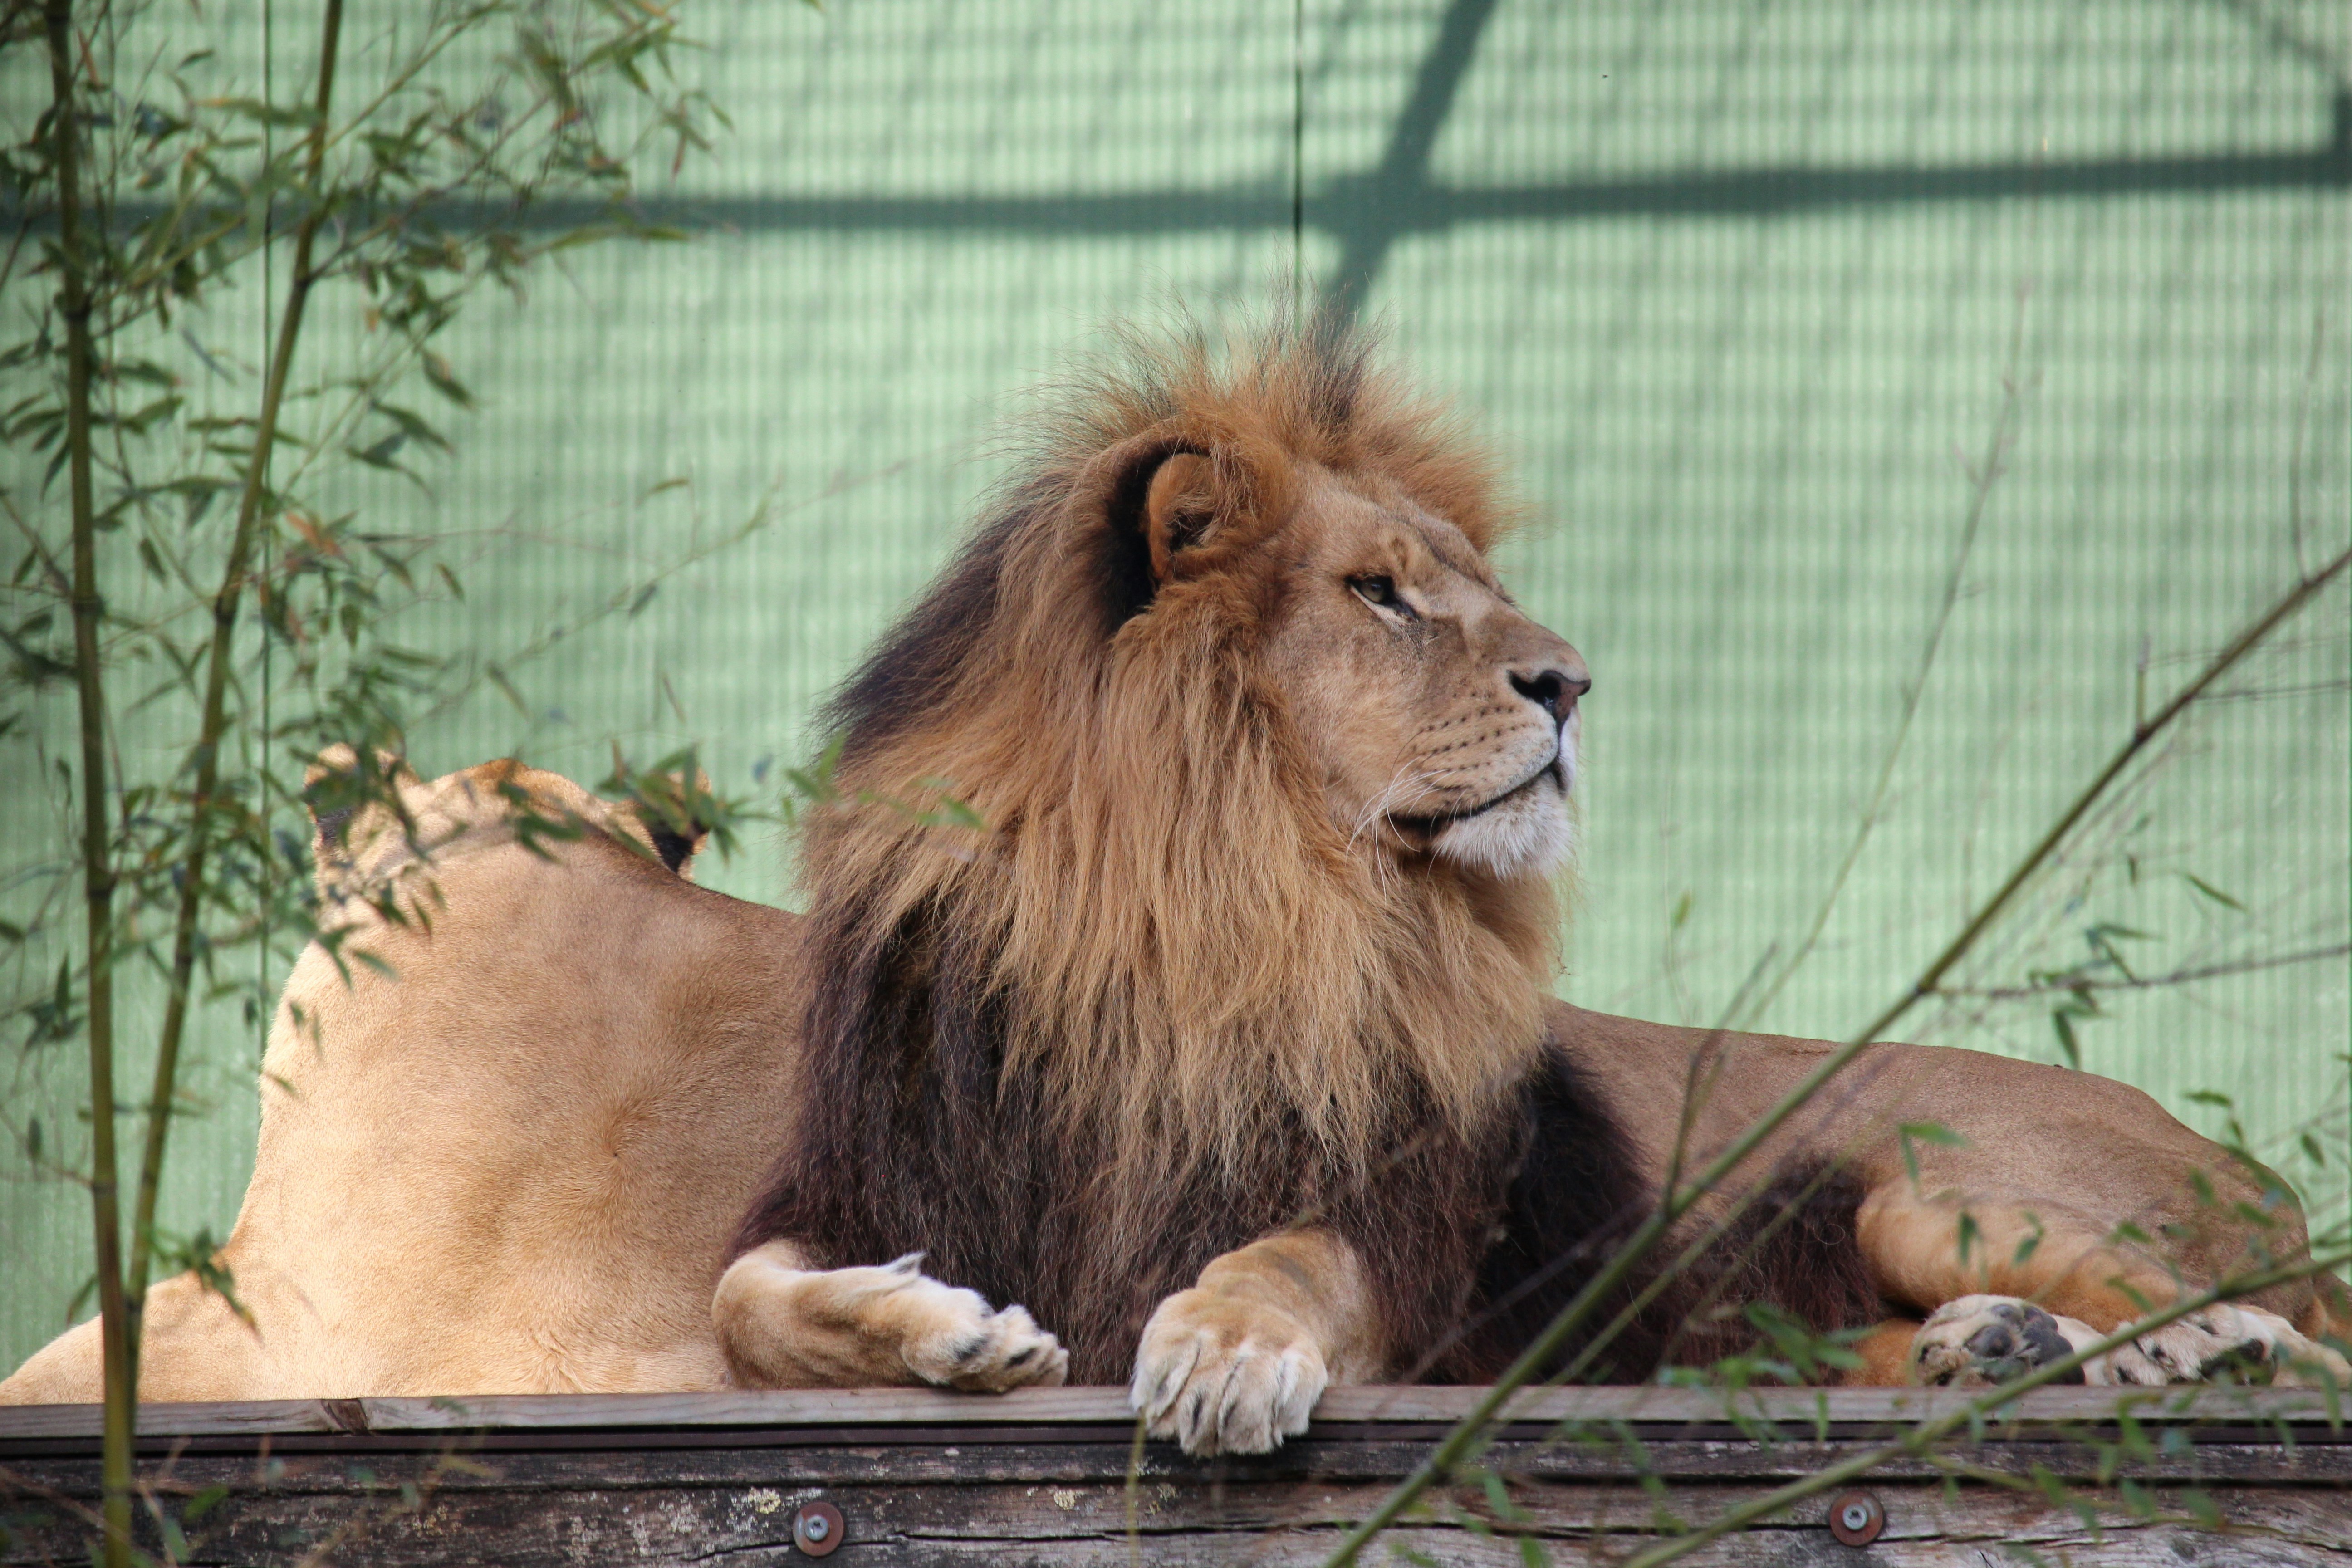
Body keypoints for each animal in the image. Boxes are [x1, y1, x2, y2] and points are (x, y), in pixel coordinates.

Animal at [5, 320, 2345, 1453]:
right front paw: (941, 1329)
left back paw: (2166, 1353)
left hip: (1946, 1177)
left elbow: (1277, 1259)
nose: (1574, 681)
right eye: (1385, 591)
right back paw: (2003, 1356)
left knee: (2304, 1322)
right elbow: (769, 1293)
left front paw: (1189, 1350)